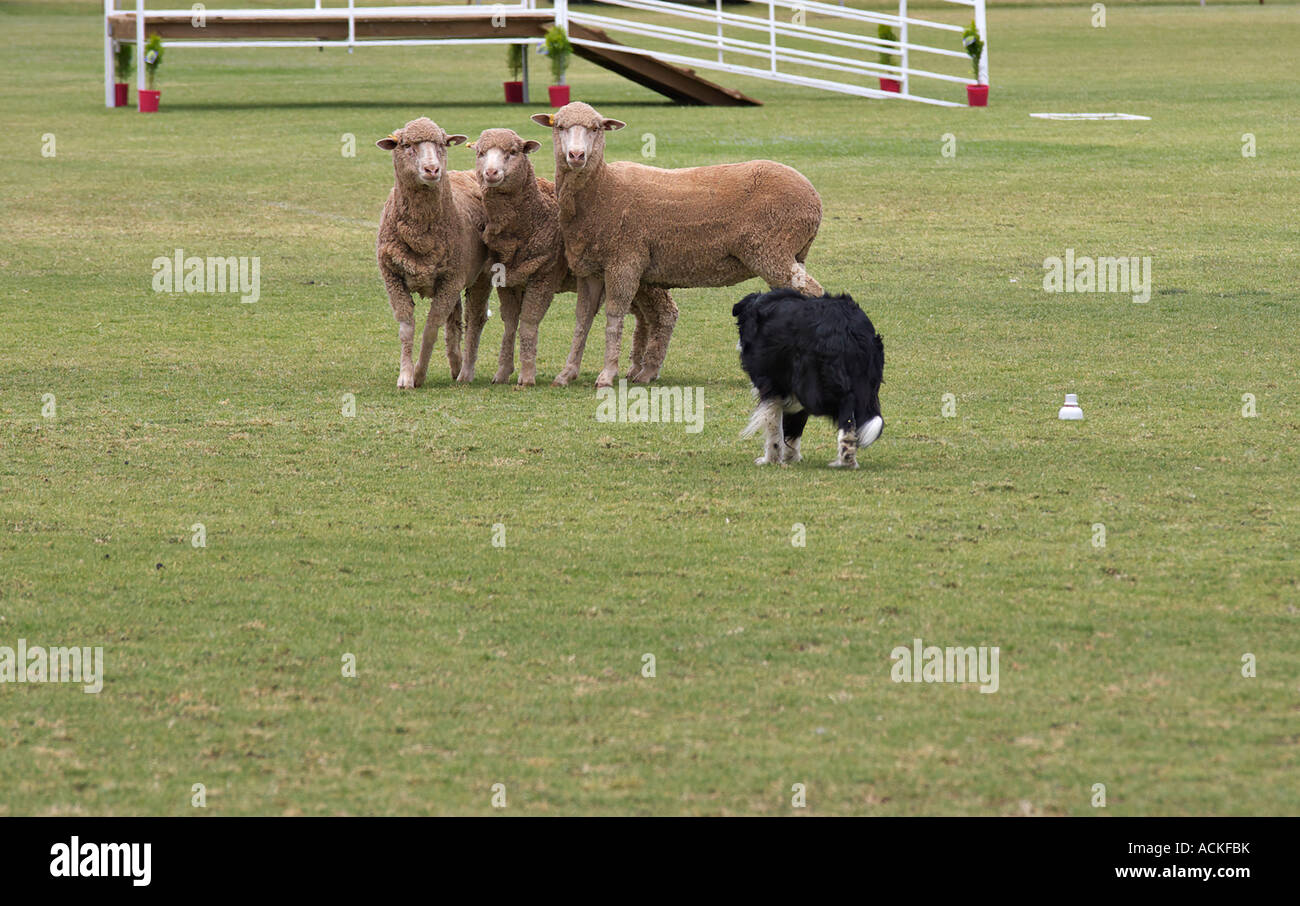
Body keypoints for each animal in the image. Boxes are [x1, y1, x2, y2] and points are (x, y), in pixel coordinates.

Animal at [376, 117, 493, 389]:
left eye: (441, 144)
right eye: (407, 145)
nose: (432, 169)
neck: (420, 237)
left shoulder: (451, 279)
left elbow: (430, 328)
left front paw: (418, 373)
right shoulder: (393, 277)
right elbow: (406, 327)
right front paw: (405, 375)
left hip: (480, 275)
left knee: (475, 320)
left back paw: (465, 371)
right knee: (455, 319)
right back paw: (456, 363)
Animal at [470, 128, 678, 387]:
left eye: (513, 152)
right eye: (480, 152)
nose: (491, 173)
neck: (533, 216)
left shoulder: (545, 275)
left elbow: (528, 322)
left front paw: (526, 375)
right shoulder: (508, 279)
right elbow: (509, 323)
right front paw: (502, 372)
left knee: (665, 313)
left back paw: (649, 369)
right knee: (646, 317)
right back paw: (636, 368)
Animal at [531, 102, 824, 389]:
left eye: (595, 128)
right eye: (559, 126)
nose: (576, 155)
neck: (603, 189)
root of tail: (813, 196)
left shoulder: (623, 262)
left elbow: (614, 317)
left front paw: (606, 374)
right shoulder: (589, 270)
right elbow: (582, 319)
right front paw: (567, 373)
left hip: (772, 251)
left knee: (814, 293)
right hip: (789, 254)